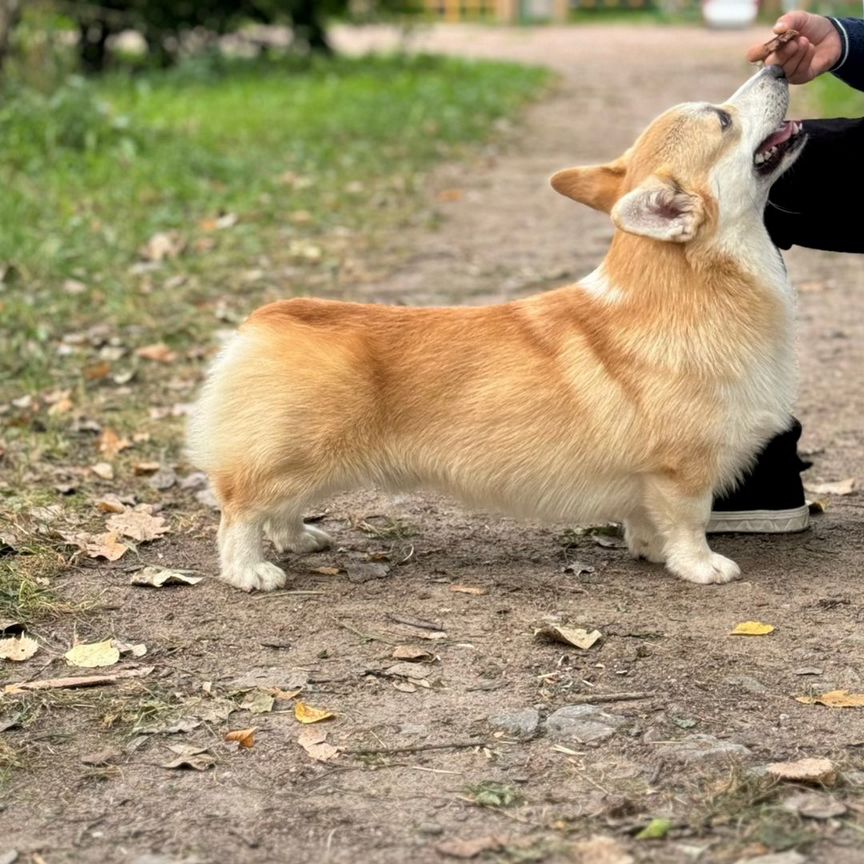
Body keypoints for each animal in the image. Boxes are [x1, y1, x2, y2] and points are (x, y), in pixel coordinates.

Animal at [187, 67, 804, 592]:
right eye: (722, 119)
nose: (777, 68)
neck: (697, 284)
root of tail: (264, 318)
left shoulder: (653, 480)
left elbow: (648, 521)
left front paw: (650, 552)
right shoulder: (684, 469)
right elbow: (689, 522)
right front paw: (701, 566)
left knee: (279, 511)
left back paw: (298, 540)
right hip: (294, 459)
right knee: (240, 510)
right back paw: (250, 571)